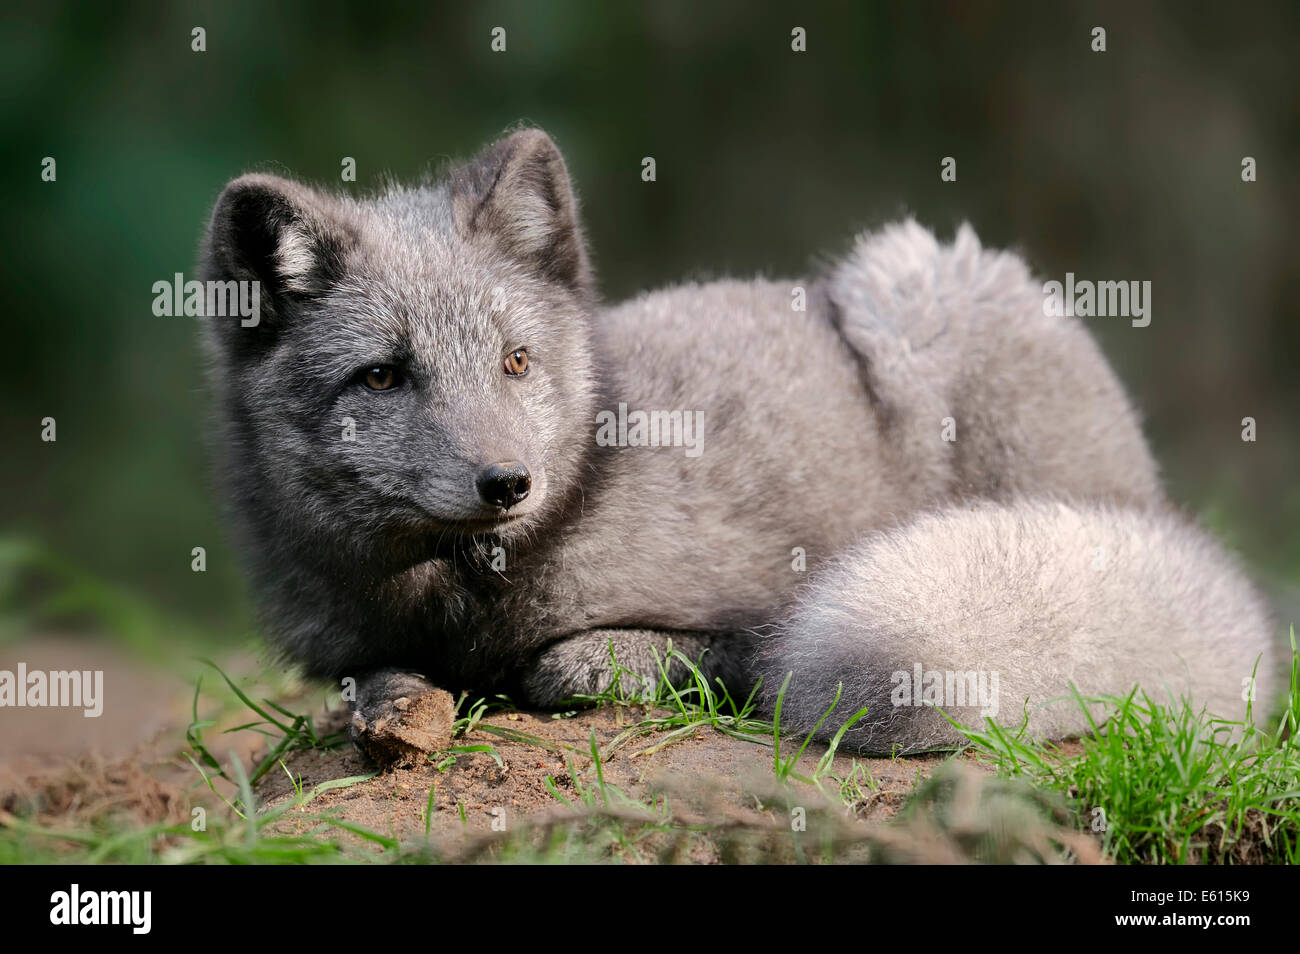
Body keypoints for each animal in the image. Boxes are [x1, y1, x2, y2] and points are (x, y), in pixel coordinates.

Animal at [199, 127, 1282, 758]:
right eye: (383, 375)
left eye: (514, 362)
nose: (506, 481)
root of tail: (1149, 499)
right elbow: (370, 681)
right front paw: (393, 703)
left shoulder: (771, 587)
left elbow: (675, 659)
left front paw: (595, 665)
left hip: (915, 283)